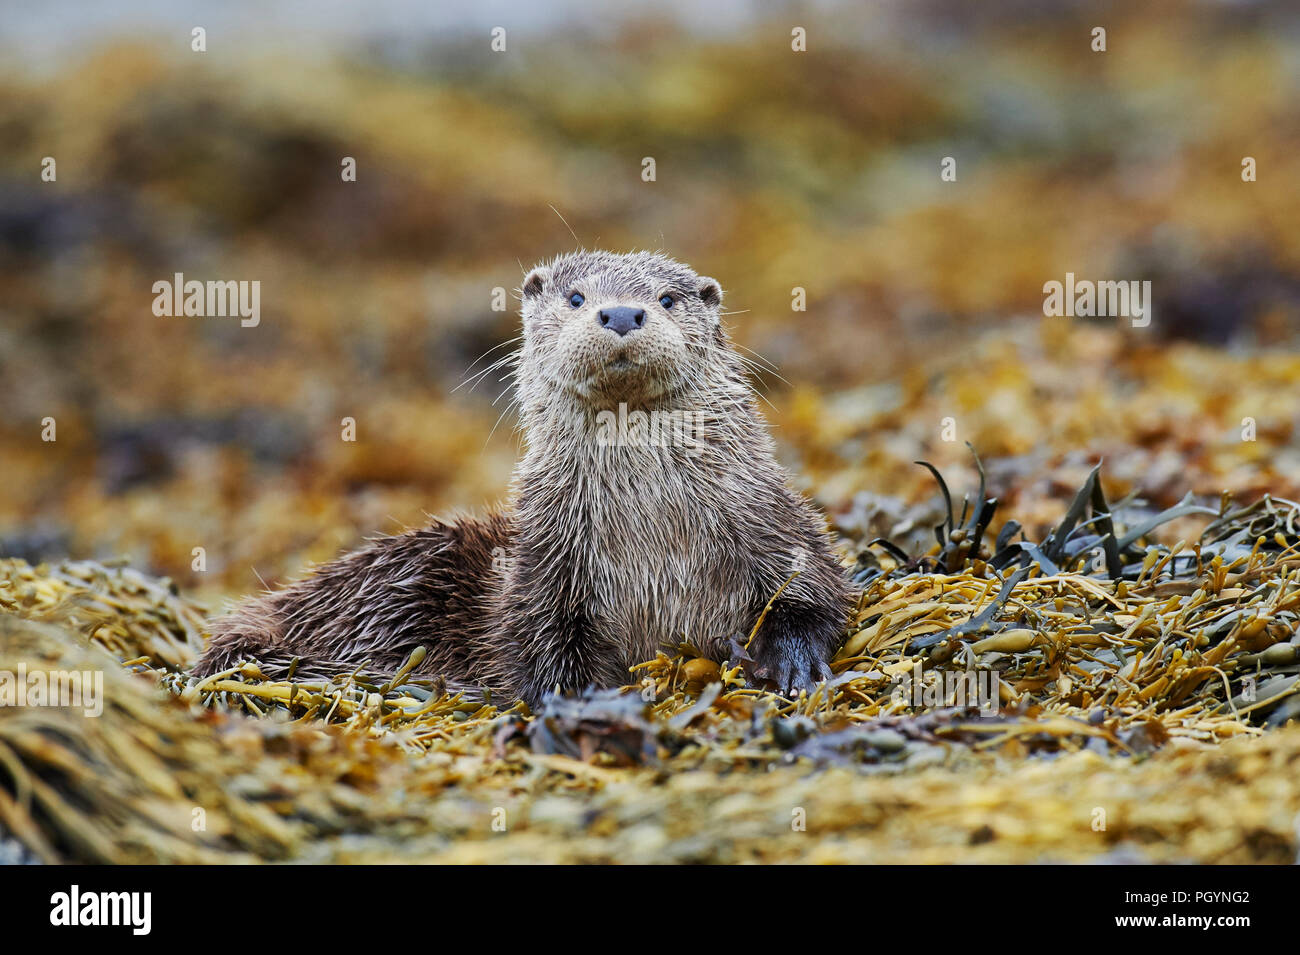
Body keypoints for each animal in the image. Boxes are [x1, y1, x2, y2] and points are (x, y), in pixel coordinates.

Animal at [195, 250, 852, 706]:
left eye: (668, 298)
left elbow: (817, 590)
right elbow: (540, 649)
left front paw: (791, 663)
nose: (620, 312)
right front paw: (579, 704)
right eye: (576, 296)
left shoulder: (772, 518)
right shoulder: (544, 566)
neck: (653, 539)